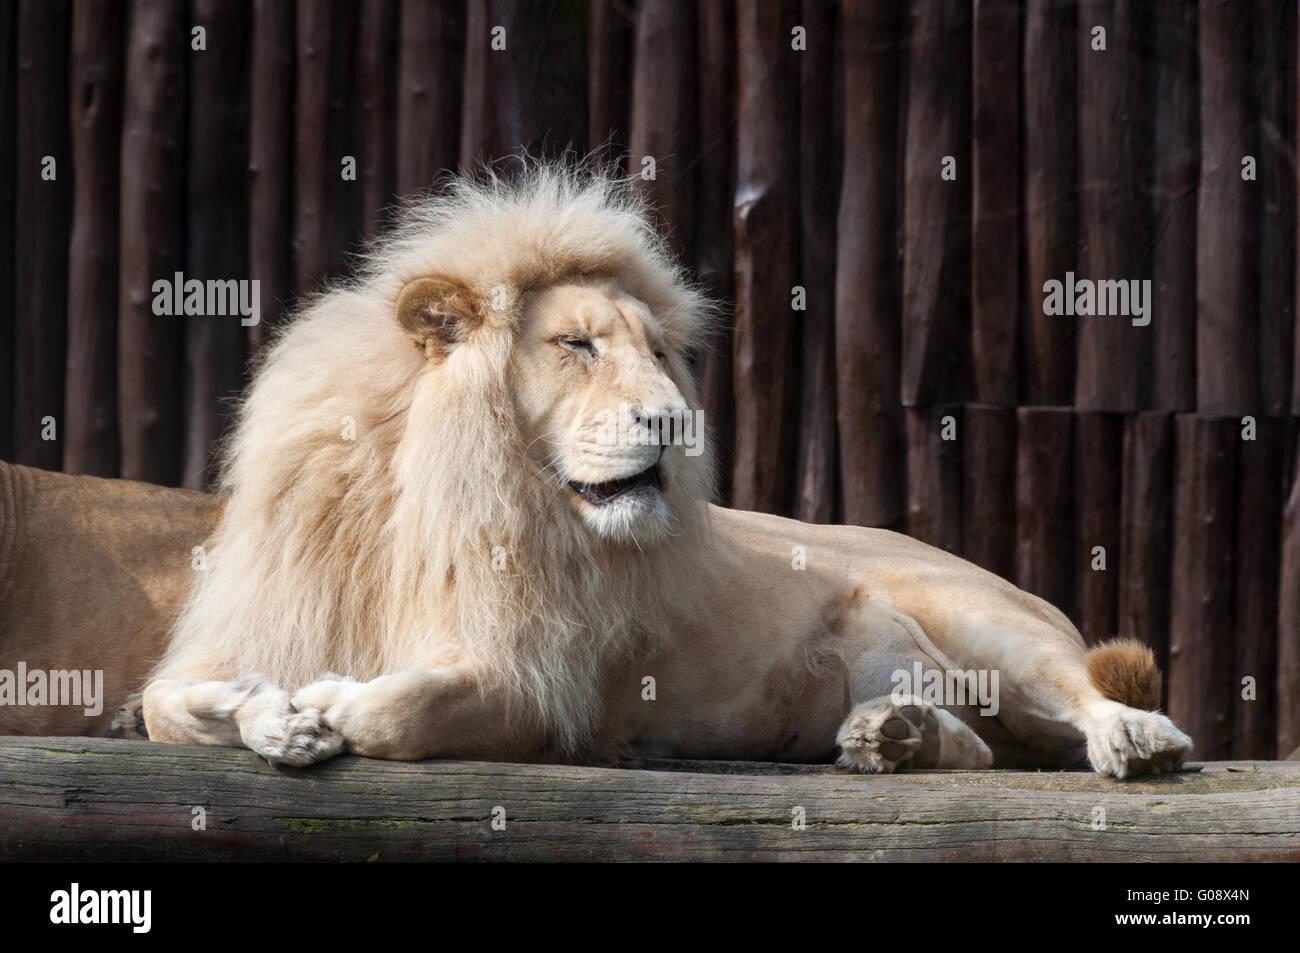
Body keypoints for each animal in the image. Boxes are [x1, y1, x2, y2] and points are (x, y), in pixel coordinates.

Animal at [1, 164, 1192, 778]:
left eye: (659, 351)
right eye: (575, 344)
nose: (672, 417)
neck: (422, 487)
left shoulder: (538, 681)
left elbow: (403, 711)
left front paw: (336, 702)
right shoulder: (255, 623)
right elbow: (172, 707)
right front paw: (275, 718)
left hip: (981, 618)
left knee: (1086, 697)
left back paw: (1129, 738)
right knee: (974, 749)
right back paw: (889, 734)